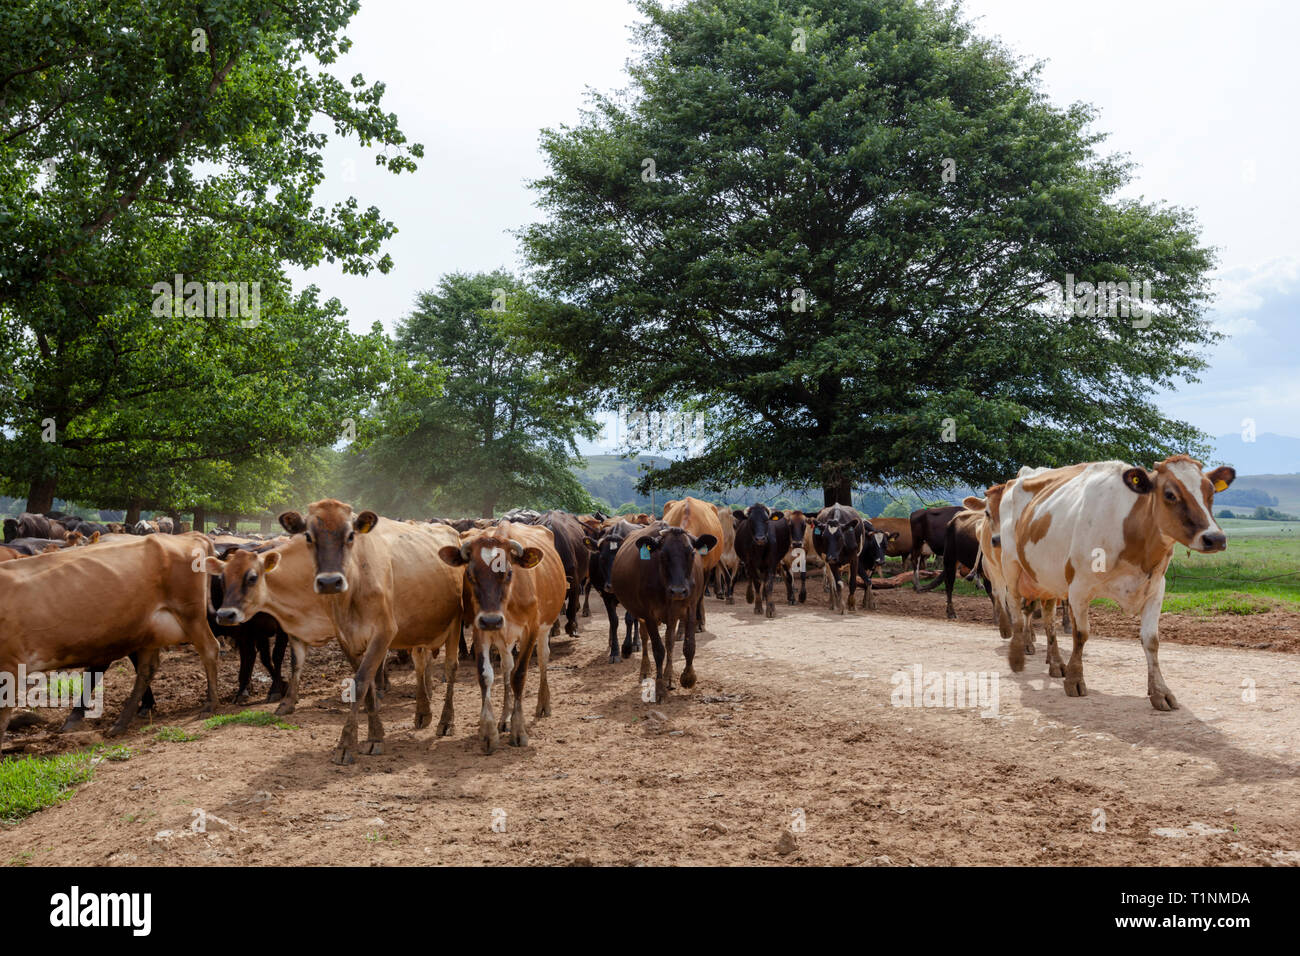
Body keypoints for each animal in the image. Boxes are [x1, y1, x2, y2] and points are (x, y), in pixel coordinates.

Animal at [0, 533, 219, 753]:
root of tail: (189, 536)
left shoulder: (10, 664)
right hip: (151, 630)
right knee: (146, 669)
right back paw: (122, 721)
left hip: (190, 614)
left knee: (209, 649)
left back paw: (210, 704)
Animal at [437, 521, 567, 753]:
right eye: (470, 575)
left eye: (508, 573)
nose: (492, 620)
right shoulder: (481, 630)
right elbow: (486, 675)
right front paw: (489, 732)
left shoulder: (531, 629)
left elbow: (519, 676)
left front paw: (518, 730)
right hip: (503, 637)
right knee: (507, 666)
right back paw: (505, 717)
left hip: (545, 627)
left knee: (543, 658)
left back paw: (543, 704)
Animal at [583, 520, 643, 663]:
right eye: (602, 558)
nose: (611, 586)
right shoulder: (606, 596)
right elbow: (613, 621)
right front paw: (615, 651)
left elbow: (629, 619)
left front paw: (627, 647)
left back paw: (636, 643)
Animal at [611, 522, 716, 702]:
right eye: (663, 555)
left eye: (691, 553)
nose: (678, 591)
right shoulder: (649, 614)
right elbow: (658, 650)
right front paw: (659, 688)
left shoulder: (690, 608)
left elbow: (689, 645)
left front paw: (688, 677)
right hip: (641, 615)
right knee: (645, 638)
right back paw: (645, 670)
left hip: (672, 615)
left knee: (670, 641)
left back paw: (668, 677)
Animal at [997, 456, 1235, 710]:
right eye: (1170, 494)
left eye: (1211, 491)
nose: (1215, 538)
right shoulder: (1079, 588)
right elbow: (1081, 634)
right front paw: (1074, 680)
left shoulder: (1155, 589)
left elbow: (1151, 640)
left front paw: (1160, 691)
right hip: (1010, 566)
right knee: (1016, 610)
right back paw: (1017, 657)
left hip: (1047, 578)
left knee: (1049, 620)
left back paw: (1056, 663)